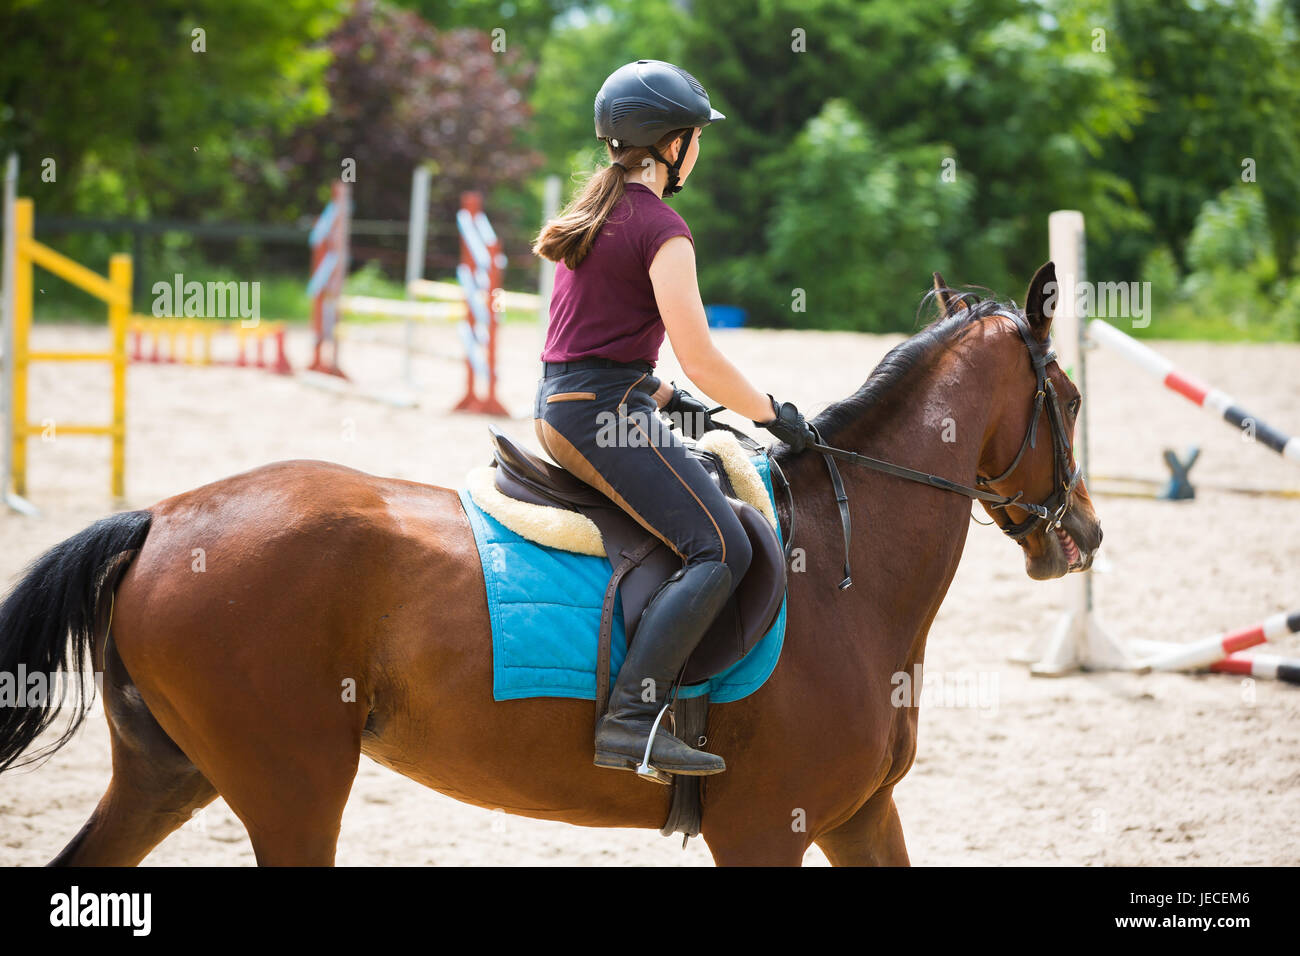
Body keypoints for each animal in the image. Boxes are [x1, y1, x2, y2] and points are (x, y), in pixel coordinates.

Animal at [0, 262, 1101, 866]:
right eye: (1073, 398)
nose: (1084, 535)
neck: (844, 566)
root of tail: (159, 521)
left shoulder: (860, 814)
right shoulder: (765, 827)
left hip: (168, 775)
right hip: (291, 784)